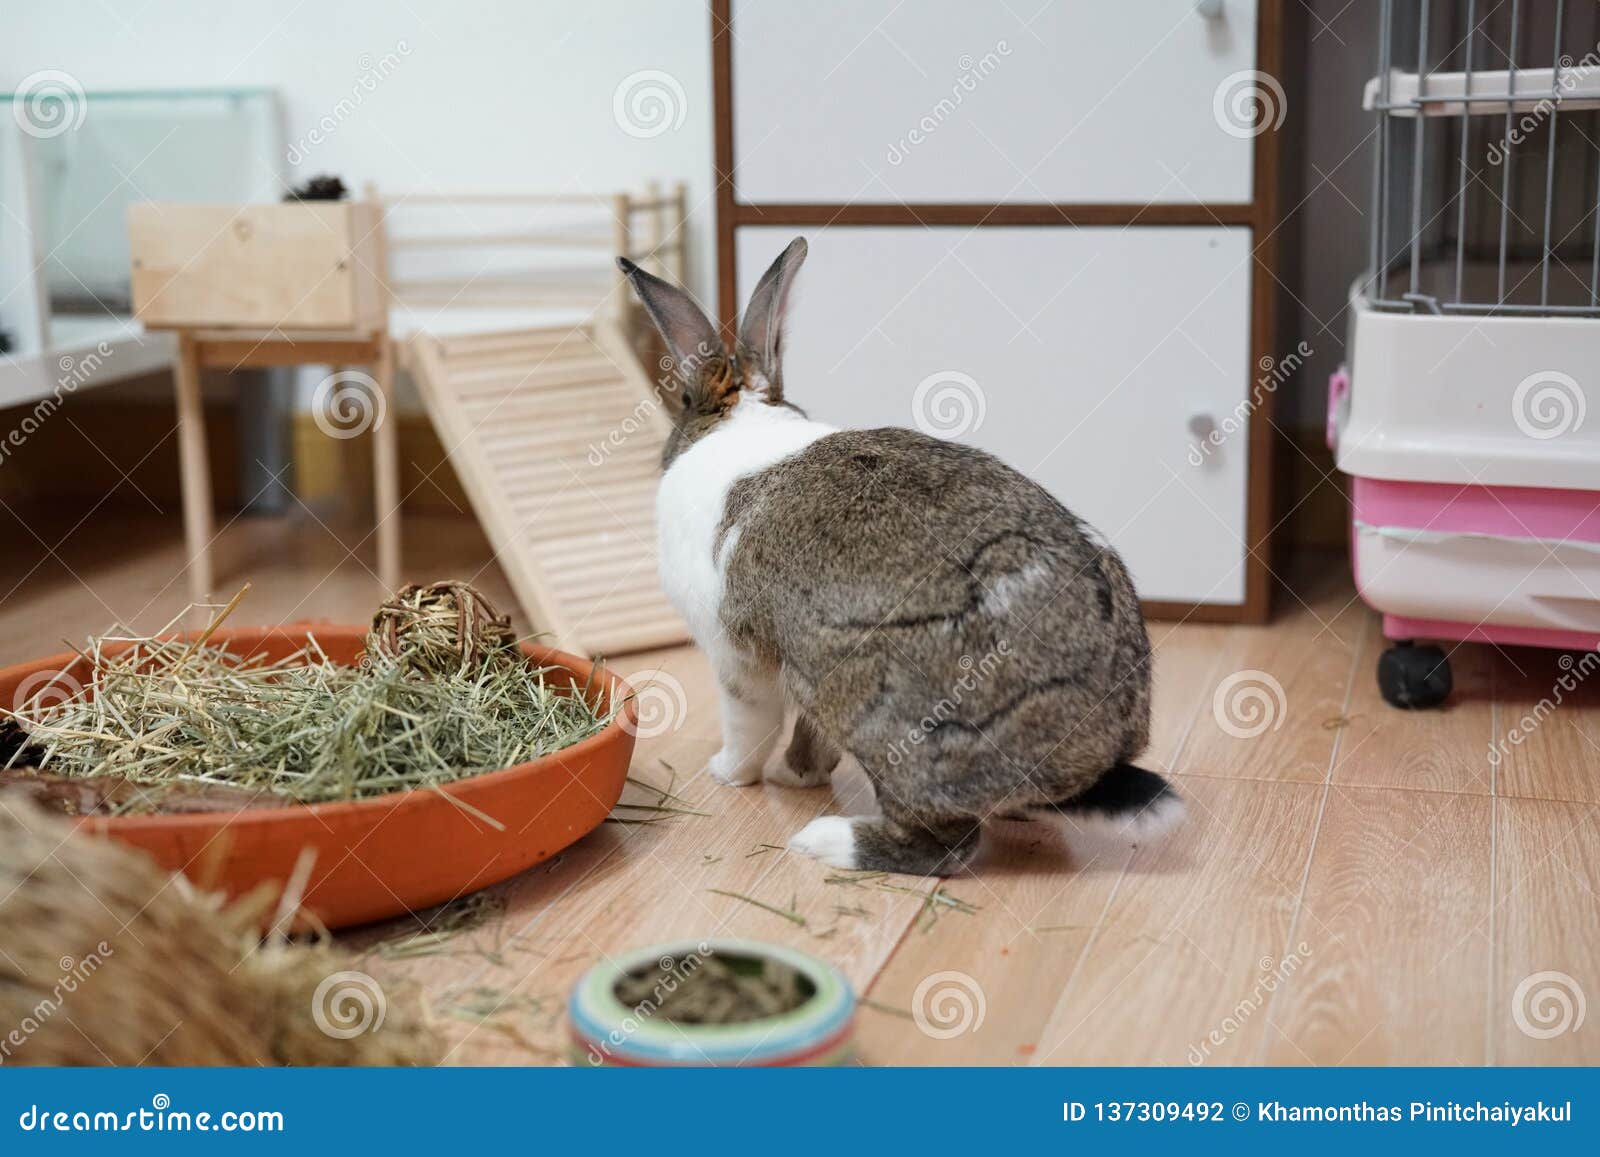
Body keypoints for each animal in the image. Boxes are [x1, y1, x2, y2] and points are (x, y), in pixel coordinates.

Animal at [617, 238, 1183, 876]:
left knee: (945, 846)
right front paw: (794, 777)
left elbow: (748, 726)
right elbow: (808, 736)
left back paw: (825, 841)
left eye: (685, 401)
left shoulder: (735, 657)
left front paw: (728, 775)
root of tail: (1092, 751)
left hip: (884, 718)